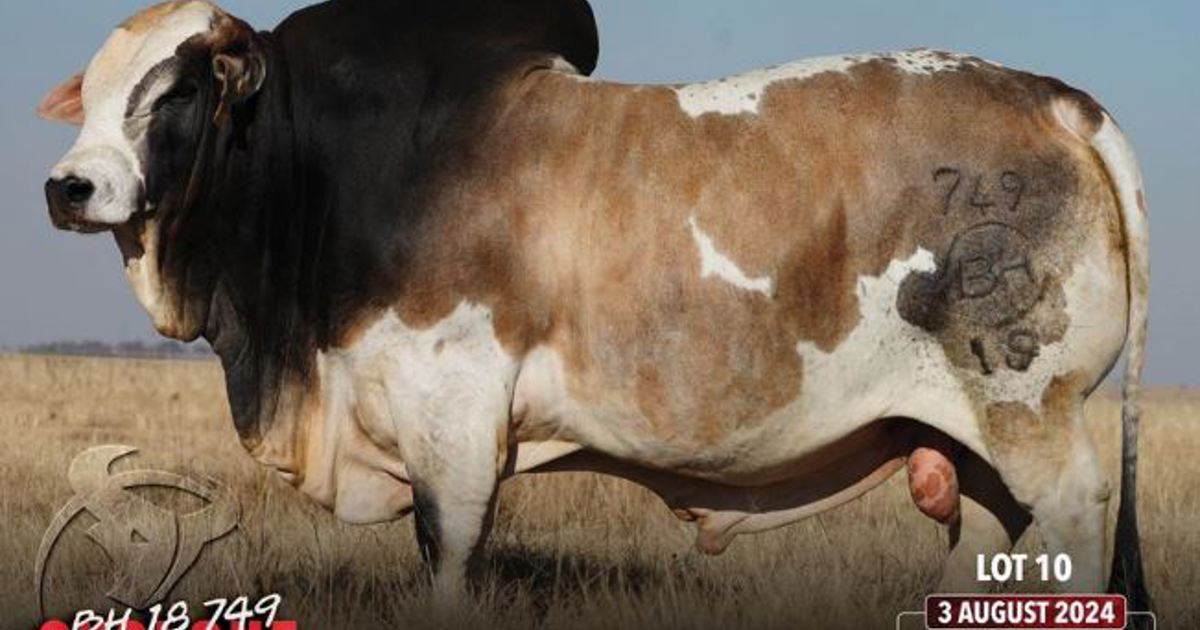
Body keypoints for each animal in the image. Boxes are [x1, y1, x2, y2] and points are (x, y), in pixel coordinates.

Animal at [40, 0, 1151, 611]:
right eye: (92, 90)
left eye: (178, 90)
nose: (69, 187)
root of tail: (1050, 97)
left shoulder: (452, 421)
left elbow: (448, 552)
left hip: (1027, 412)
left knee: (1074, 514)